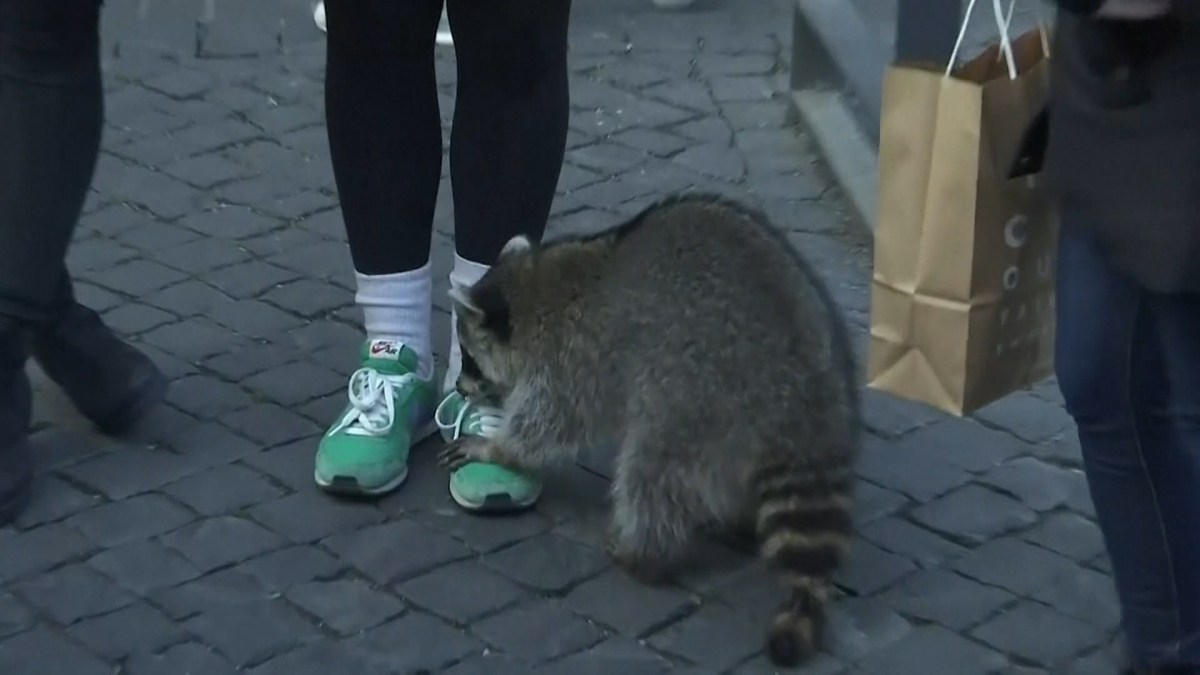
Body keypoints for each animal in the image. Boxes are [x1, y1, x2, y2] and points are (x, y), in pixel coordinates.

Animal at [438, 192, 861, 668]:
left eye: (470, 358)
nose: (459, 386)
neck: (535, 288)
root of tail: (805, 399)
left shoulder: (575, 359)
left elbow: (552, 424)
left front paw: (498, 447)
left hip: (698, 393)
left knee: (652, 473)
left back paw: (645, 553)